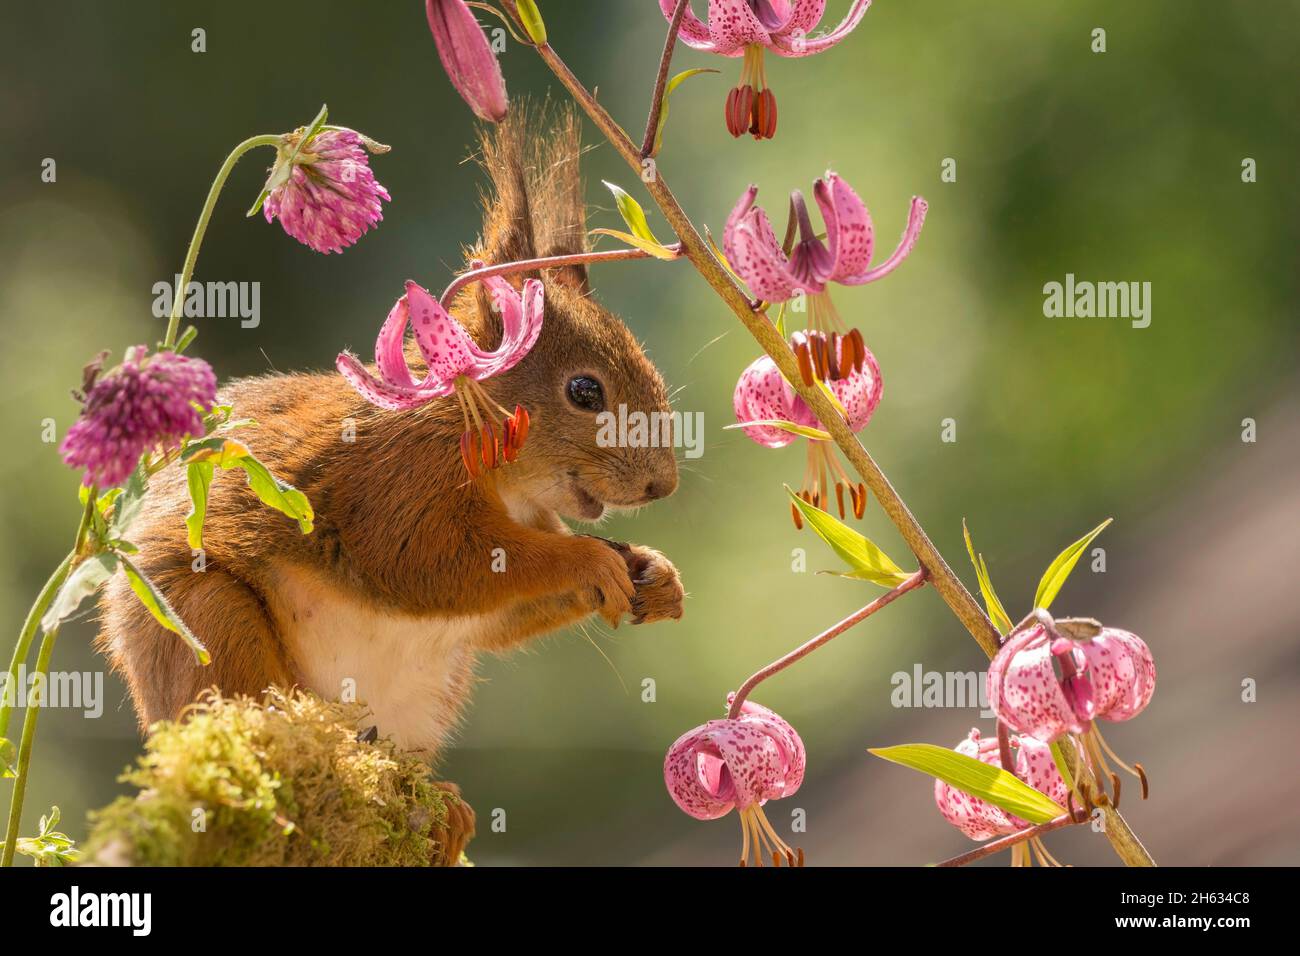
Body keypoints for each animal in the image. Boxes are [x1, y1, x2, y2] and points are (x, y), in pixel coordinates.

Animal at [96, 108, 684, 854]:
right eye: (585, 391)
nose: (663, 485)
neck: (498, 468)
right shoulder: (396, 485)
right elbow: (428, 564)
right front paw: (586, 559)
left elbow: (498, 614)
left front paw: (655, 574)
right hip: (204, 625)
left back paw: (446, 806)